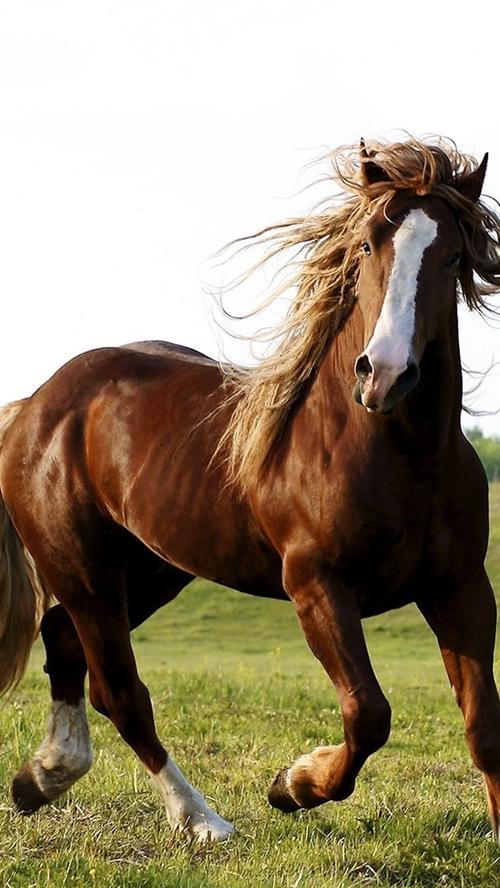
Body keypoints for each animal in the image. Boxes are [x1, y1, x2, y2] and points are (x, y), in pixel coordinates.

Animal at [0, 136, 499, 844]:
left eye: (453, 255)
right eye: (367, 244)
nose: (385, 374)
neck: (398, 454)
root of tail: (37, 403)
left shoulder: (461, 589)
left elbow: (484, 729)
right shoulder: (316, 586)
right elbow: (368, 714)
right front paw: (293, 785)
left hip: (149, 570)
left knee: (67, 645)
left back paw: (42, 778)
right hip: (84, 570)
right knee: (121, 691)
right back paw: (201, 820)